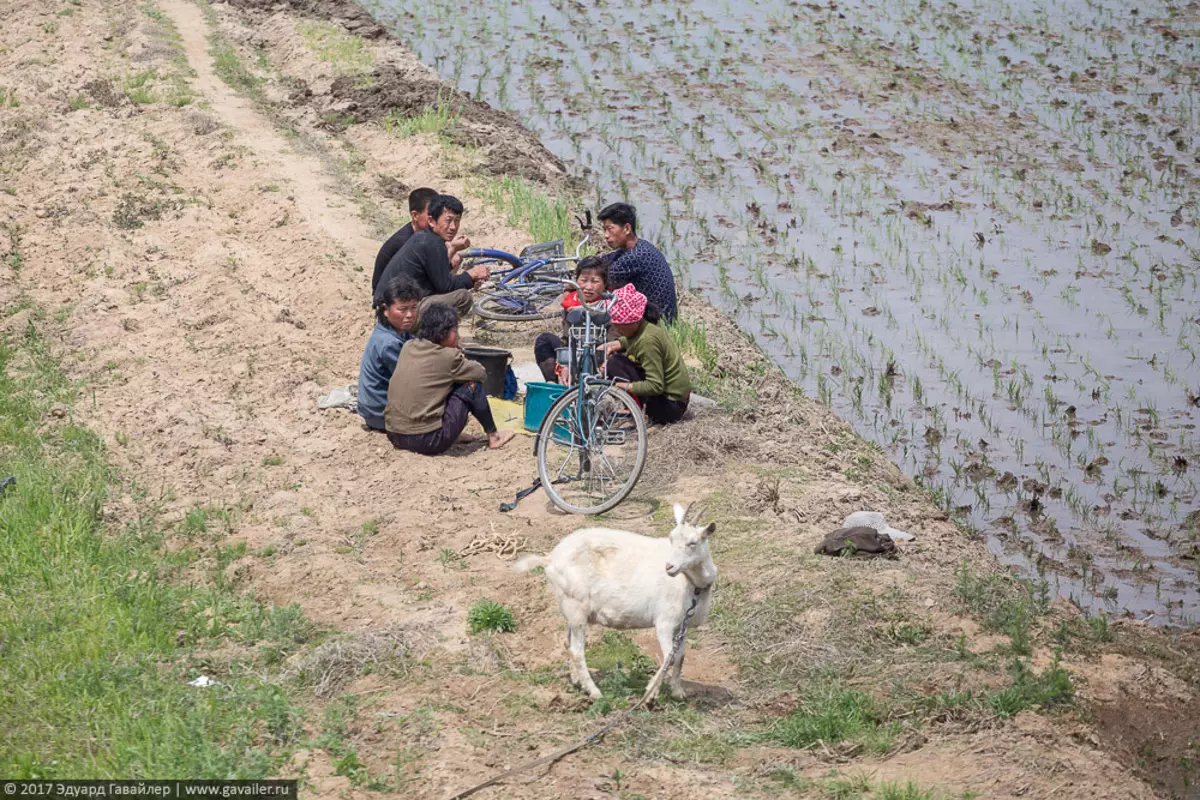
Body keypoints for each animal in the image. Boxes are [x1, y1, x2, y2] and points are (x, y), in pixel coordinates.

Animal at [513, 503, 710, 705]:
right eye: (671, 539)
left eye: (693, 543)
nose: (669, 567)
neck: (692, 586)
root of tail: (550, 558)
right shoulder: (665, 621)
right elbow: (669, 656)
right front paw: (650, 694)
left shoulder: (683, 624)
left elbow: (680, 657)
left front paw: (677, 692)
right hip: (575, 604)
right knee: (577, 651)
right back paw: (594, 692)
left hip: (571, 606)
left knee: (569, 643)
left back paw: (577, 681)